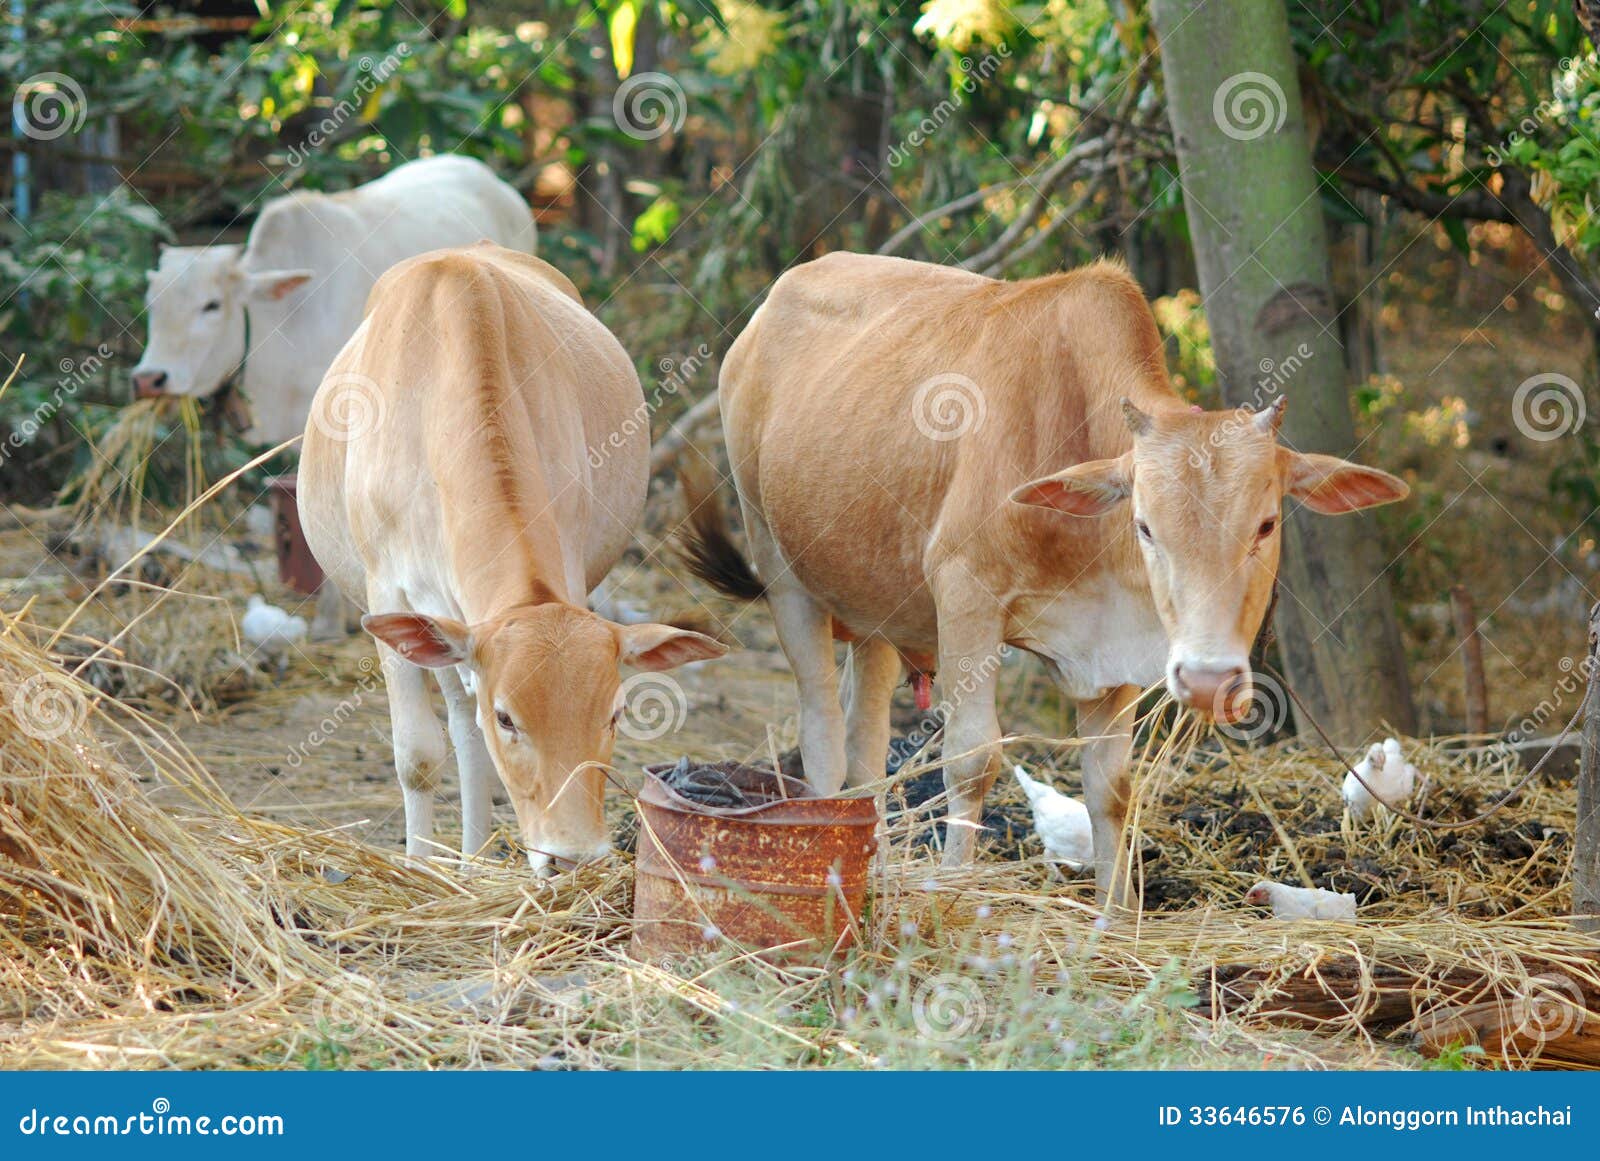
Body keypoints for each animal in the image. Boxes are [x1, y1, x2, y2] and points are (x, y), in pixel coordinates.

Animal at [298, 243, 726, 869]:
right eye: (508, 717)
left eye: (615, 713)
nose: (572, 855)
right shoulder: (389, 597)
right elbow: (419, 756)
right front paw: (420, 868)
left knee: (464, 729)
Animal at [679, 252, 1408, 909]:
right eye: (1145, 526)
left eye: (1265, 524)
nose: (1206, 680)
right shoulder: (966, 598)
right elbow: (972, 759)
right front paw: (953, 893)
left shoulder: (1113, 652)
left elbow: (1110, 788)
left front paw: (1115, 916)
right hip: (784, 575)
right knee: (824, 737)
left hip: (874, 611)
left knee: (867, 746)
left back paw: (874, 868)